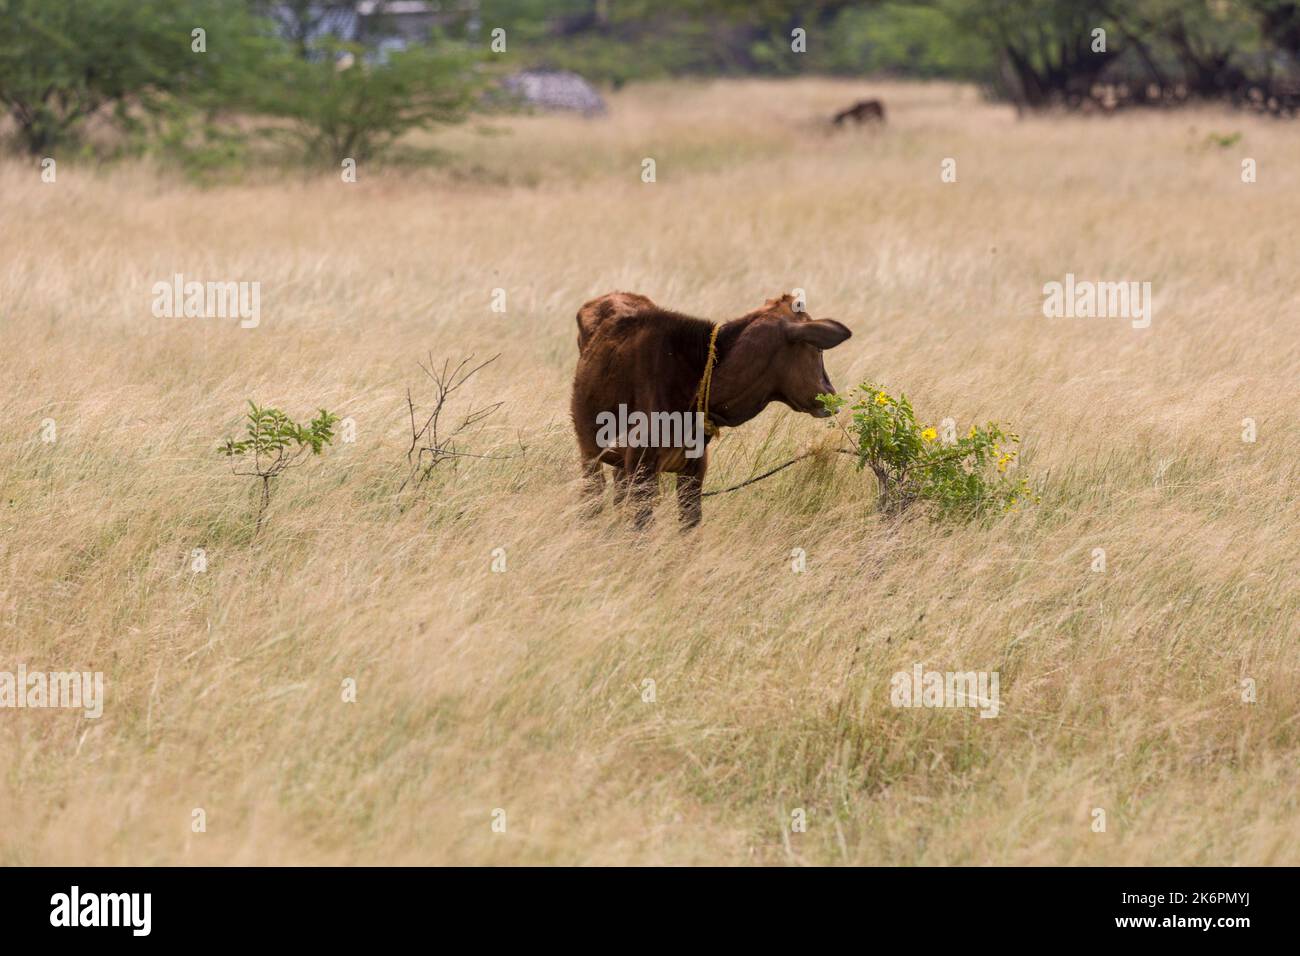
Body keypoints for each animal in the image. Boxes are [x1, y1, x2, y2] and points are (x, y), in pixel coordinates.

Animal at [571, 293, 852, 528]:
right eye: (817, 348)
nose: (831, 395)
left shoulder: (694, 470)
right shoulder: (642, 468)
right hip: (590, 454)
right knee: (592, 498)